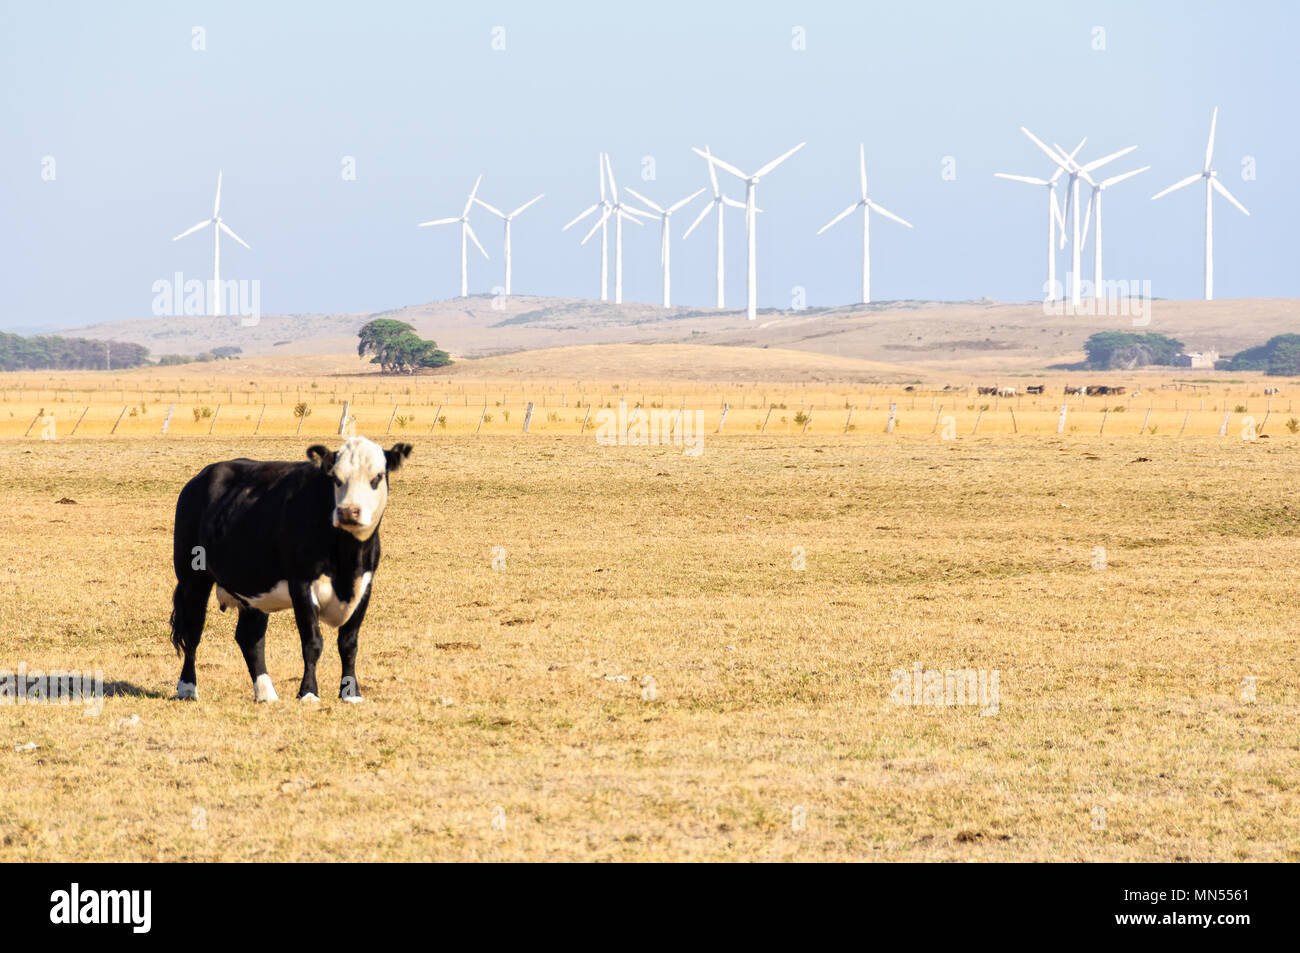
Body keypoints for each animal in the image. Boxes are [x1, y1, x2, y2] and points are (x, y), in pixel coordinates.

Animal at [168, 437, 413, 704]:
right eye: (336, 478)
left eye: (377, 476)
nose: (349, 511)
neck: (348, 560)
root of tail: (200, 478)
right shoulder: (302, 585)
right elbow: (312, 642)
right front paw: (308, 692)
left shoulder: (364, 586)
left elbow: (349, 643)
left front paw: (351, 693)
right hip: (193, 578)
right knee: (192, 631)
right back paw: (188, 688)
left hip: (254, 587)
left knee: (249, 637)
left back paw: (266, 693)